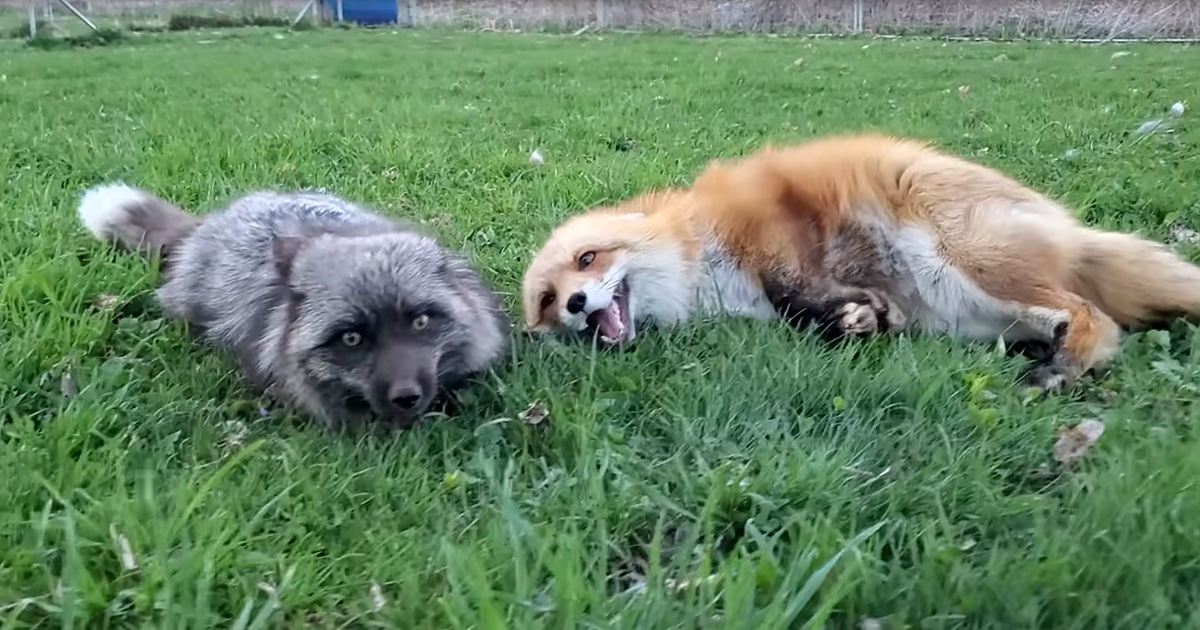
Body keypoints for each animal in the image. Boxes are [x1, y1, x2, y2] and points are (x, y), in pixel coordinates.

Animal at [520, 133, 1200, 391]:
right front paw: (860, 323)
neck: (703, 264)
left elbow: (794, 287)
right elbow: (810, 313)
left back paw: (1063, 366)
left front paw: (854, 313)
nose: (576, 306)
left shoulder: (772, 223)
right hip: (965, 311)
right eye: (548, 302)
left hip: (965, 263)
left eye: (588, 258)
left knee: (1097, 318)